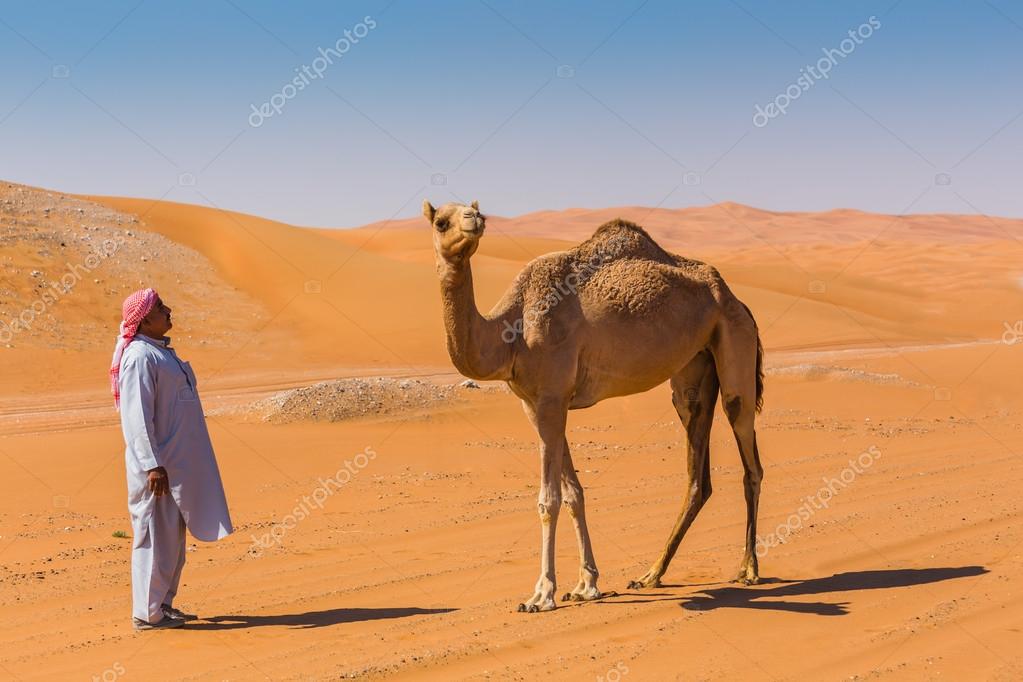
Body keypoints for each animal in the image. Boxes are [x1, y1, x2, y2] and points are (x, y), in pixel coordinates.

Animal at [425, 200, 764, 613]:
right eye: (441, 222)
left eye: (474, 212)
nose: (474, 220)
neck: (511, 332)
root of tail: (737, 300)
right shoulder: (538, 405)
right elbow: (573, 494)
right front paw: (586, 585)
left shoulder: (552, 397)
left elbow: (549, 500)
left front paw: (541, 594)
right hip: (693, 372)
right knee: (698, 474)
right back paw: (651, 574)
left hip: (735, 342)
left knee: (748, 455)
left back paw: (748, 568)